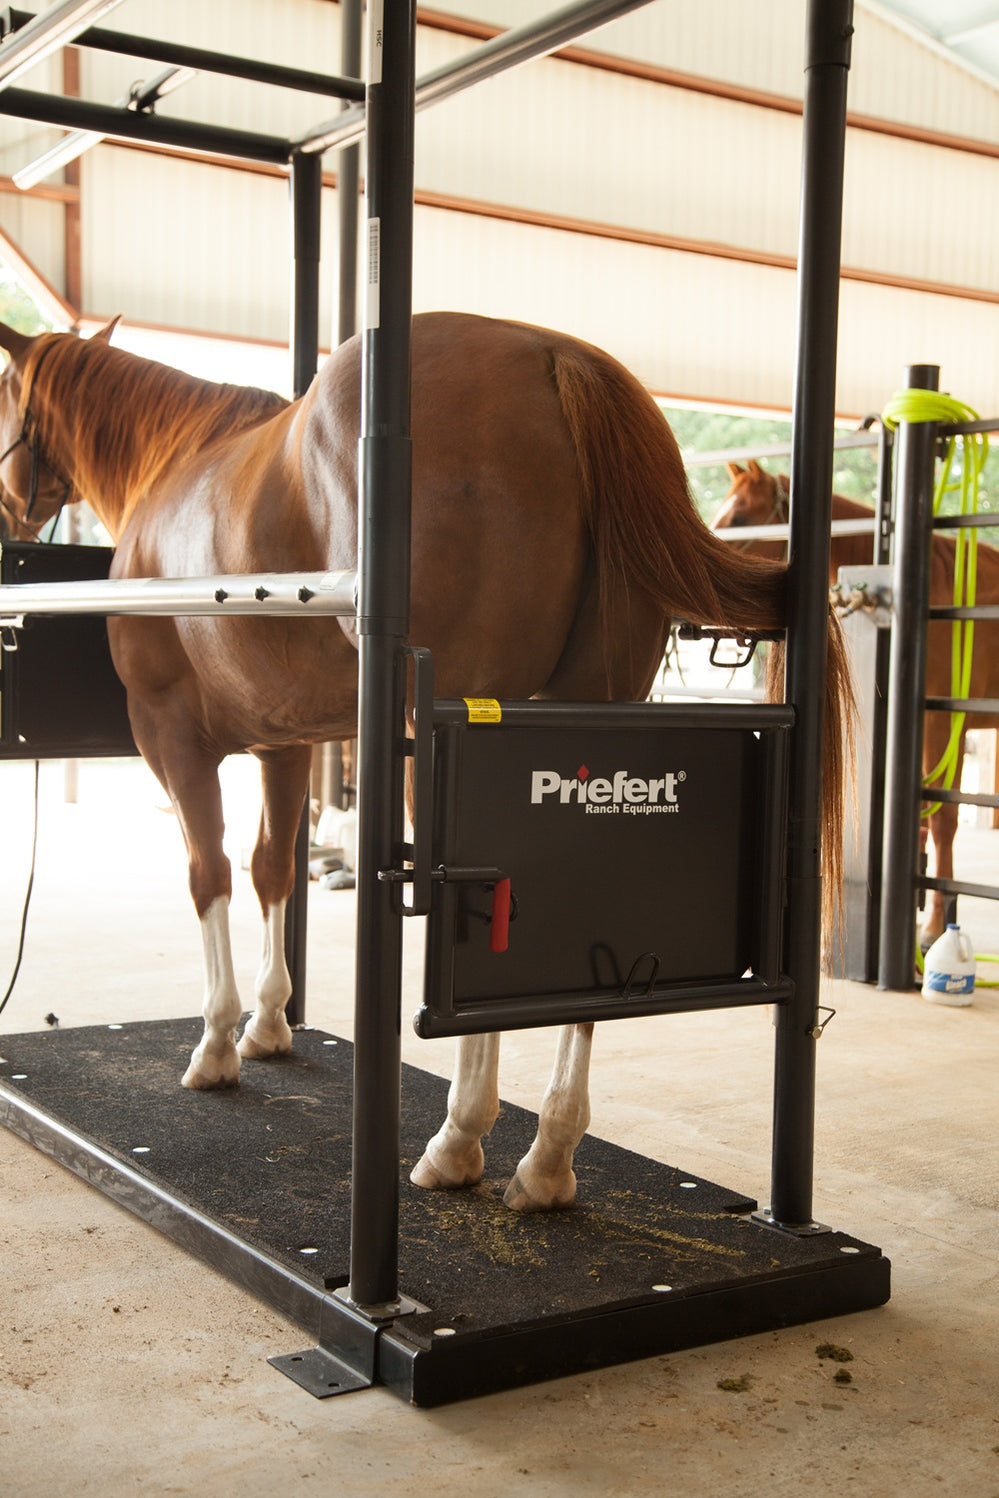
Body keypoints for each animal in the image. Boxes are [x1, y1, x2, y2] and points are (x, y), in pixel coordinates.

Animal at [0, 315, 852, 1214]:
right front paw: (268, 1025)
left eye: (5, 394)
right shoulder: (284, 742)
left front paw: (217, 1045)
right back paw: (548, 1159)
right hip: (589, 710)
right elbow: (273, 870)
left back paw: (457, 1140)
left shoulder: (168, 733)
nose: (11, 506)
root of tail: (557, 359)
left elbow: (210, 876)